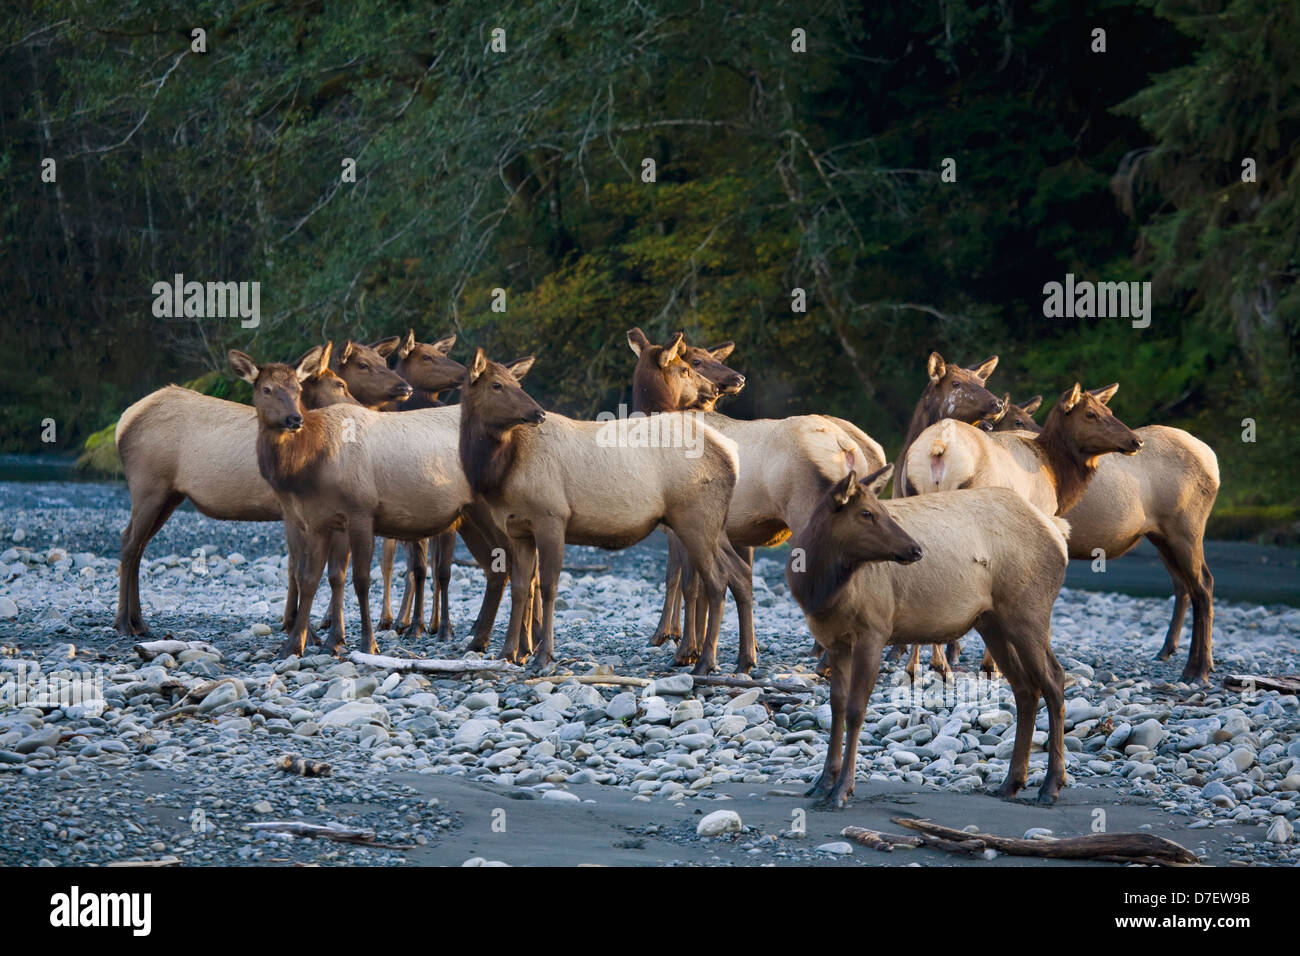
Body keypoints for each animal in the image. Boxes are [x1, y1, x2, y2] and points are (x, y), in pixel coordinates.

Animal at [113, 344, 393, 640]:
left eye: (298, 389)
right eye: (340, 384)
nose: (364, 413)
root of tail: (122, 422)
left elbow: (299, 568)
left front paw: (294, 623)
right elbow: (307, 568)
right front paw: (306, 629)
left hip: (170, 496)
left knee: (139, 545)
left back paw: (138, 621)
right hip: (148, 486)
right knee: (129, 543)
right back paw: (123, 622)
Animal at [228, 348, 471, 659]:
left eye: (297, 389)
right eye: (266, 389)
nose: (294, 419)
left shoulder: (358, 515)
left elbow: (360, 579)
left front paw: (365, 642)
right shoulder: (314, 520)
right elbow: (311, 577)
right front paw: (302, 642)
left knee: (443, 570)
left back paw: (441, 629)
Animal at [458, 348, 751, 671]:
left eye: (517, 383)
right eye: (496, 385)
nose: (538, 413)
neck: (500, 470)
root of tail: (731, 455)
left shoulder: (552, 517)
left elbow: (548, 586)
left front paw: (543, 655)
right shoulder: (517, 528)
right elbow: (521, 587)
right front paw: (508, 653)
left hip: (695, 520)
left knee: (718, 580)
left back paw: (706, 661)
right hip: (713, 525)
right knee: (741, 573)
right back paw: (744, 660)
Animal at [626, 328, 885, 673]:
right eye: (692, 363)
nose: (731, 381)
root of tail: (848, 447)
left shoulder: (684, 526)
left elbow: (688, 584)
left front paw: (685, 648)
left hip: (807, 513)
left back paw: (826, 660)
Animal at [787, 466, 1070, 808]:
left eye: (882, 509)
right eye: (867, 513)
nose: (915, 548)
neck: (820, 591)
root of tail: (1059, 535)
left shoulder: (874, 630)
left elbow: (856, 710)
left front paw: (843, 789)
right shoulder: (835, 641)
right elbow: (836, 707)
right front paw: (822, 783)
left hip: (1029, 612)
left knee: (1054, 679)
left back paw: (1051, 784)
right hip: (992, 622)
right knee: (1025, 688)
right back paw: (1011, 782)